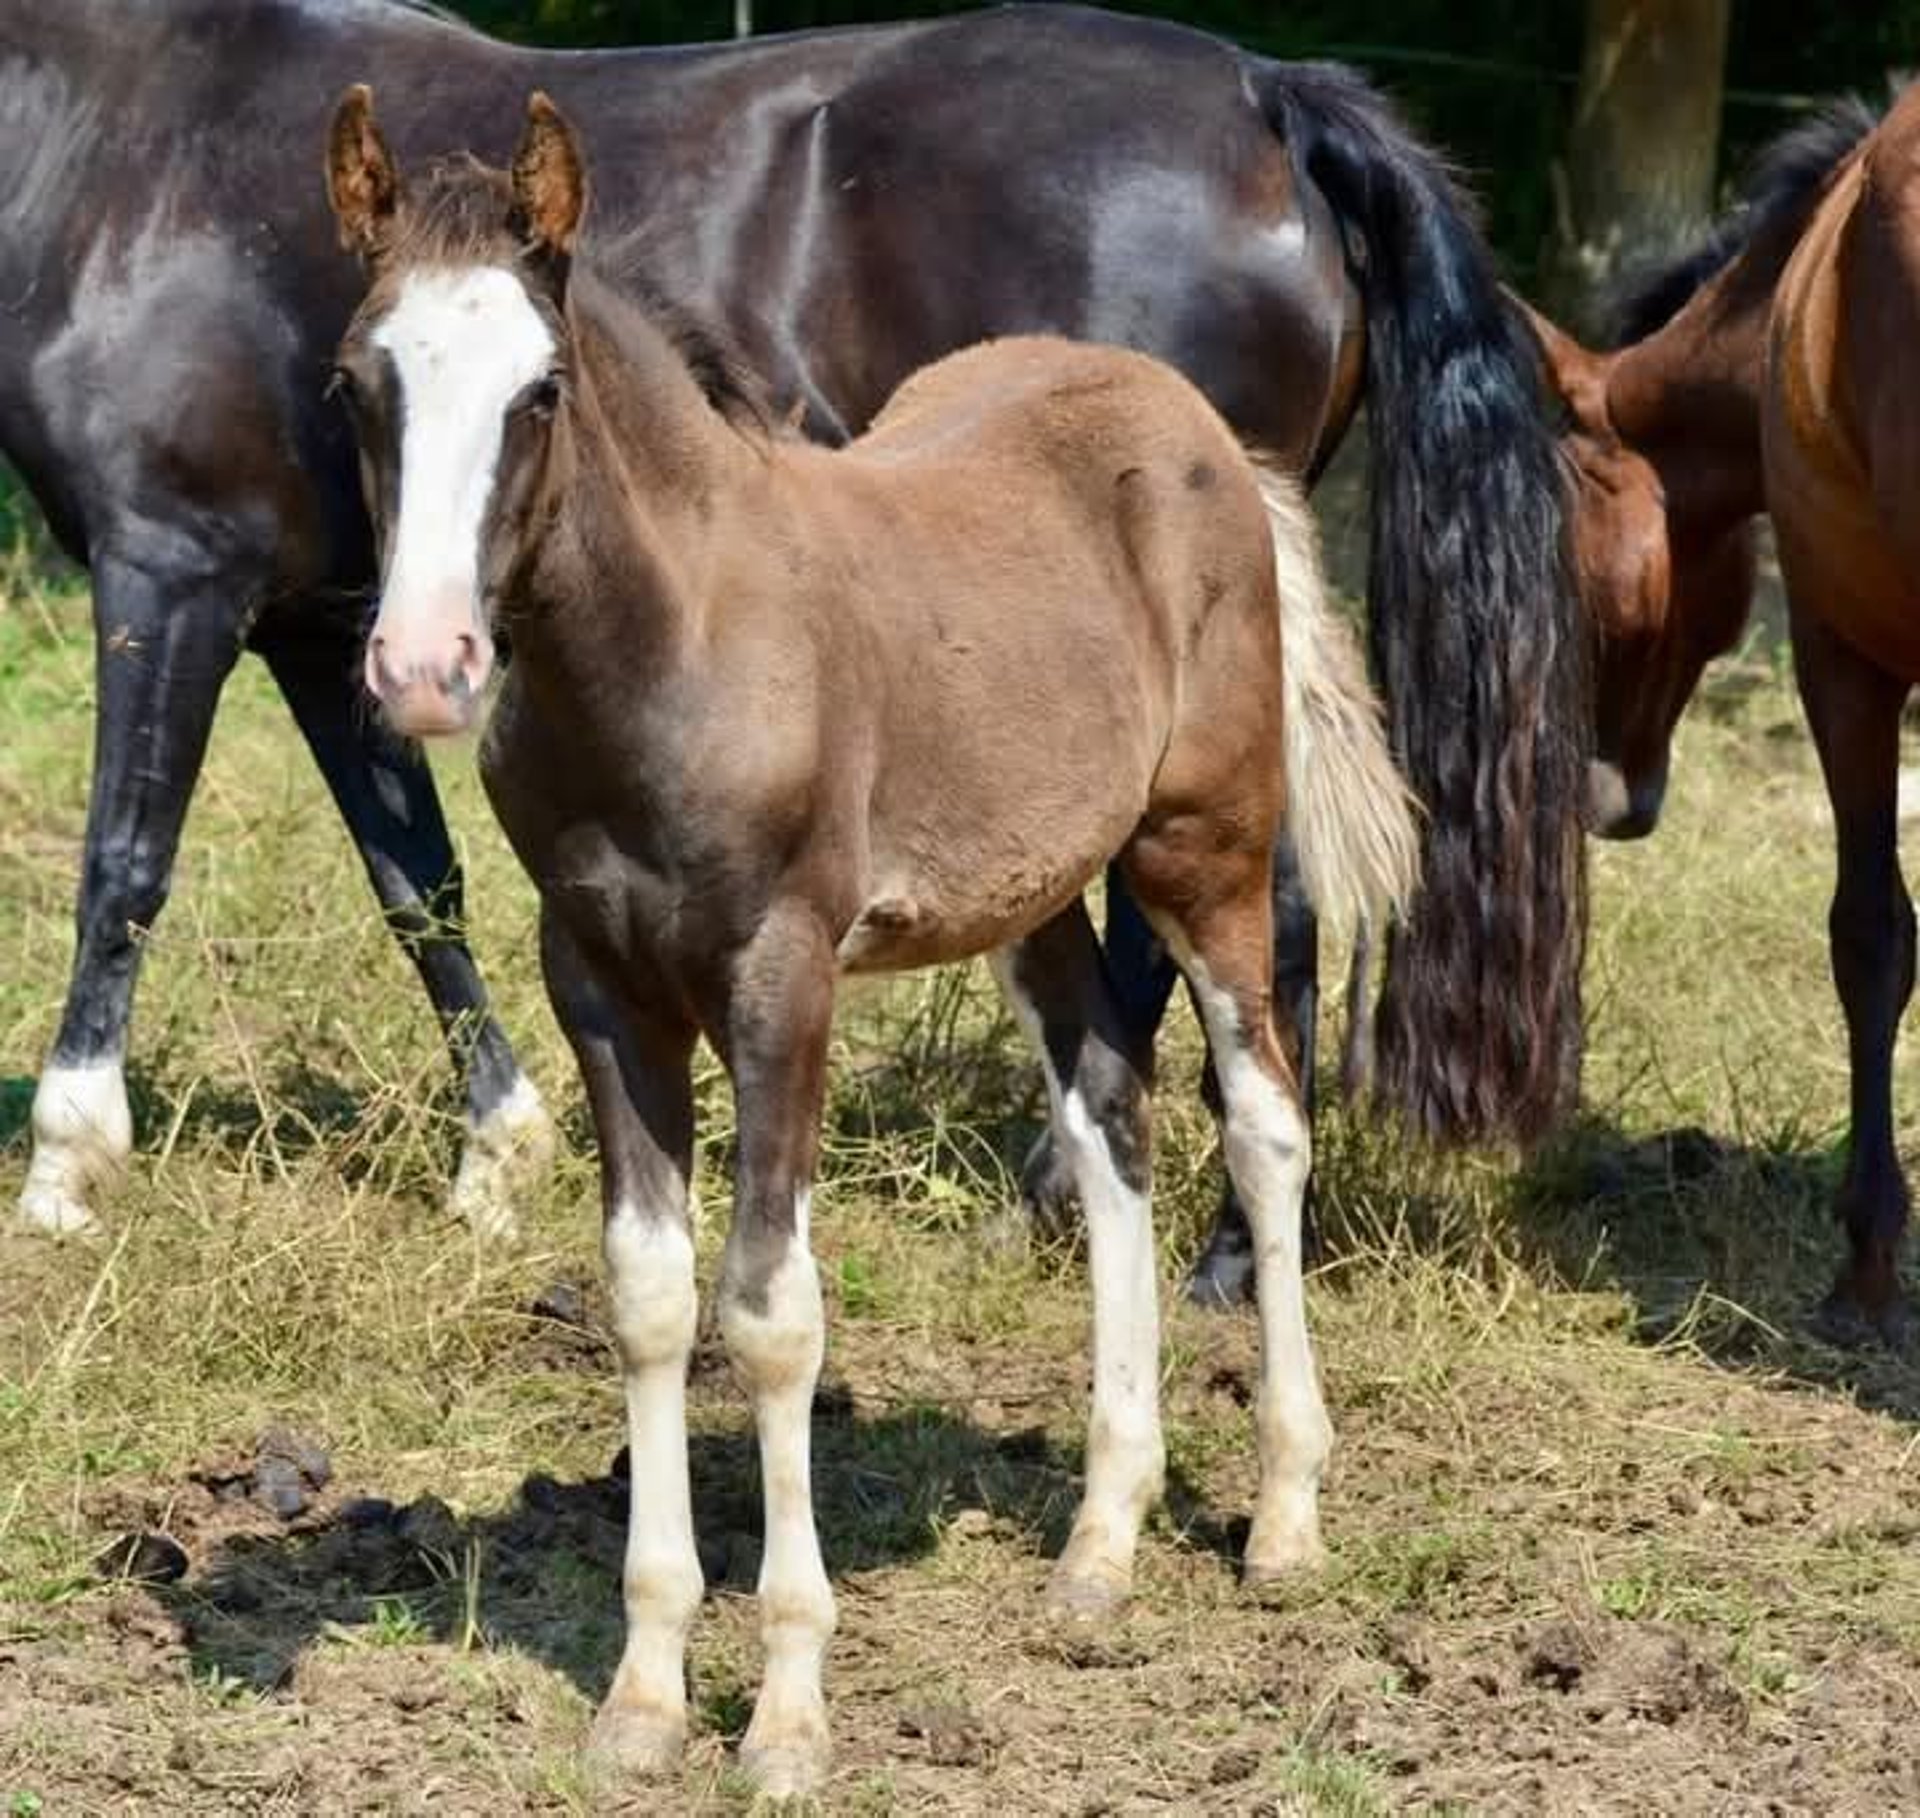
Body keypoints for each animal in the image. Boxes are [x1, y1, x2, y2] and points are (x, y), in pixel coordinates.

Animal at [1, 0, 1583, 1255]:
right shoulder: (333, 633)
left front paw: (68, 1168)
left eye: (542, 394)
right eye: (353, 384)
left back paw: (1218, 1262)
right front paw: (498, 1156)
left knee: (1263, 920)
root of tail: (1266, 94)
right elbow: (419, 885)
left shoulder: (171, 576)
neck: (123, 141)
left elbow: (124, 861)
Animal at [323, 87, 1420, 1792]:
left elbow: (772, 1314)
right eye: (356, 380)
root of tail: (1198, 427)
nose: (424, 665)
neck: (676, 650)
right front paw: (642, 1698)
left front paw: (785, 1713)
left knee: (1263, 1123)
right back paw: (1099, 1547)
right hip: (1032, 893)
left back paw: (1286, 1516)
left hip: (1207, 849)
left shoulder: (782, 978)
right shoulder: (600, 984)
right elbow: (650, 1294)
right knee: (1110, 1117)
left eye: (540, 389)